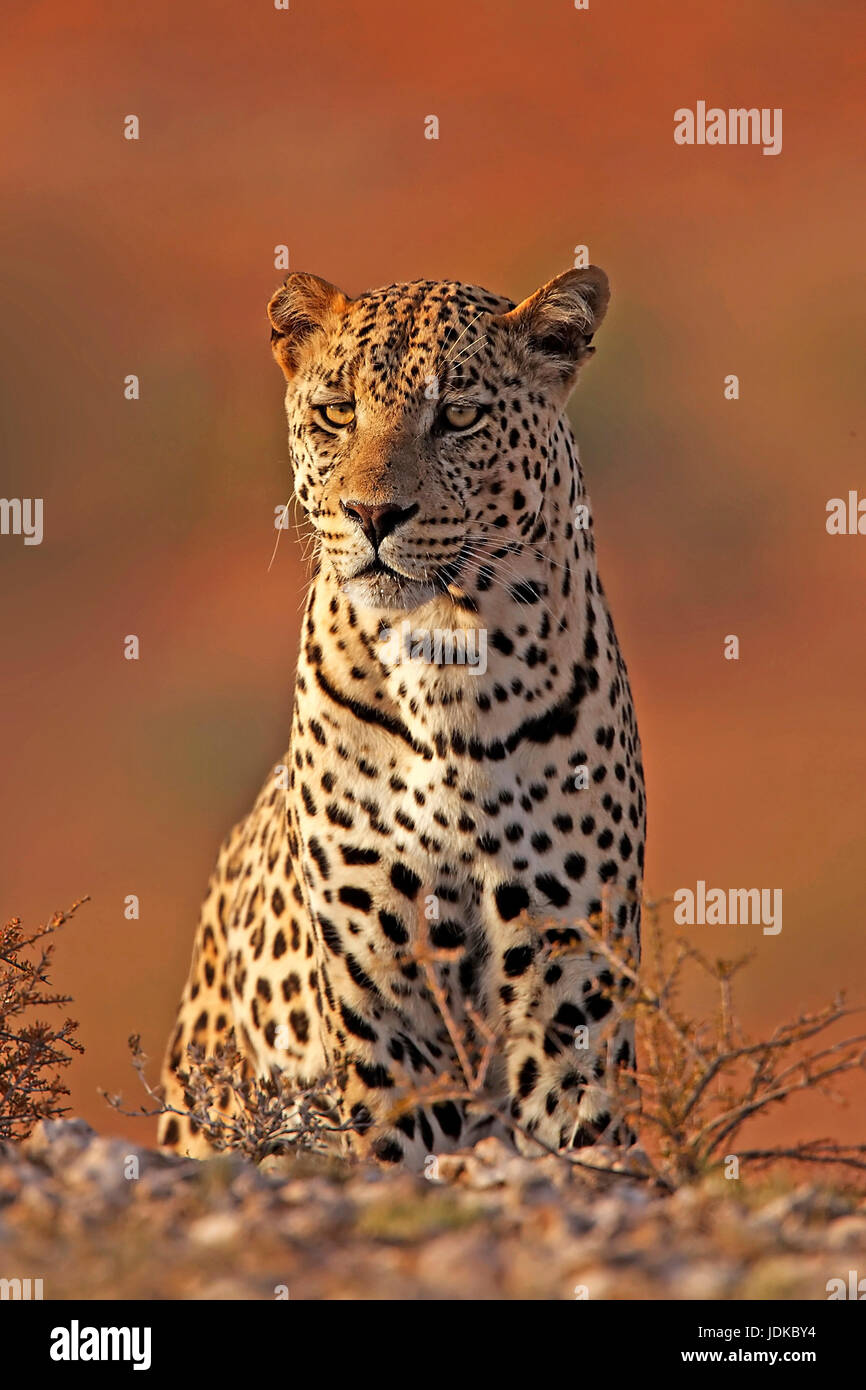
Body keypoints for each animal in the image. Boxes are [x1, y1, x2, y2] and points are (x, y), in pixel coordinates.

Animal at [158, 265, 646, 1168]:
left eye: (458, 416)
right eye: (337, 412)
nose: (373, 515)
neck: (448, 659)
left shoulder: (569, 969)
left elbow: (579, 1130)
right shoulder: (379, 974)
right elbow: (395, 1142)